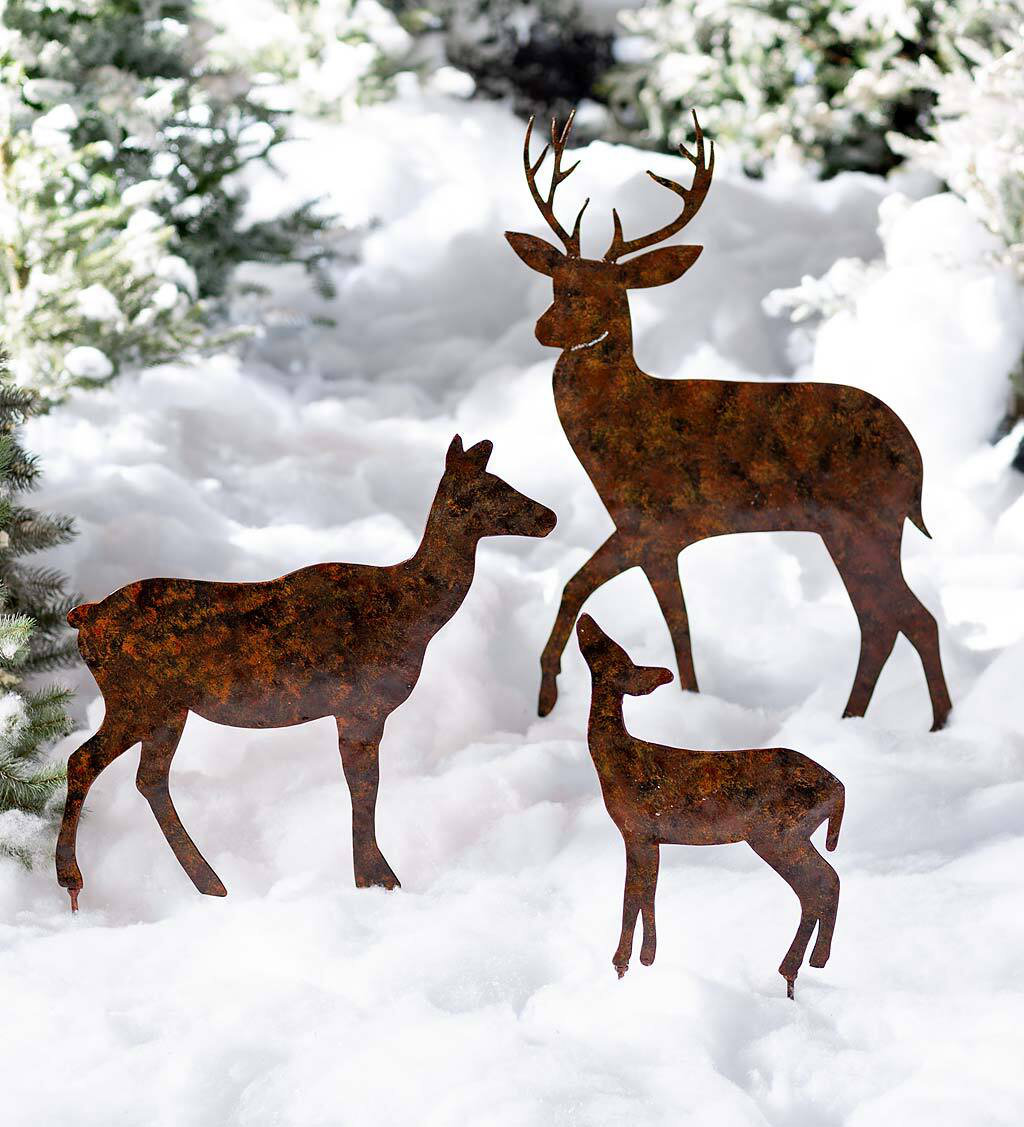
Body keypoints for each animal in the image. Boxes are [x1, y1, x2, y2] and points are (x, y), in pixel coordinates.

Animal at [56, 436, 556, 910]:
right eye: (489, 490)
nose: (548, 517)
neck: (414, 614)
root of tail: (85, 618)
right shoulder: (361, 706)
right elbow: (365, 786)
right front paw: (376, 879)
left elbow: (363, 785)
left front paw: (372, 876)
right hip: (138, 699)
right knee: (84, 760)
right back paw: (73, 882)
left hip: (166, 711)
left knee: (148, 778)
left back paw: (210, 883)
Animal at [506, 110, 952, 731]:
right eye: (556, 283)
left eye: (606, 291)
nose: (544, 329)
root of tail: (915, 460)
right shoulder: (661, 539)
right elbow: (679, 625)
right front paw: (691, 702)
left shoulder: (649, 523)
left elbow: (579, 588)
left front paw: (547, 700)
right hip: (851, 528)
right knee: (888, 619)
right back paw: (864, 721)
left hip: (866, 519)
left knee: (904, 617)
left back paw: (921, 726)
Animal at [576, 613, 843, 998]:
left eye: (608, 648)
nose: (585, 619)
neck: (618, 761)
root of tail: (839, 789)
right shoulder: (646, 836)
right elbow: (643, 895)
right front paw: (641, 962)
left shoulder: (638, 831)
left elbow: (633, 898)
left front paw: (625, 964)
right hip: (790, 834)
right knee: (821, 886)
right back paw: (798, 971)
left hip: (779, 833)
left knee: (824, 883)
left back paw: (802, 968)